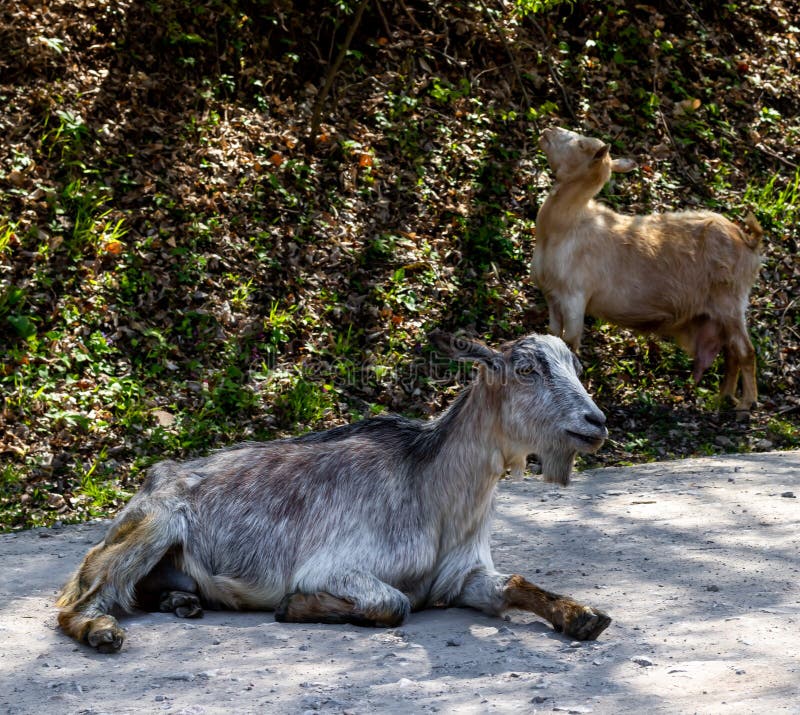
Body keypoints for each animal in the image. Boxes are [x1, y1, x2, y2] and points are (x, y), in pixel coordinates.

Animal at [56, 331, 610, 653]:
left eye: (576, 368)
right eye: (527, 370)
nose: (596, 422)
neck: (432, 486)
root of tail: (157, 475)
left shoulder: (462, 576)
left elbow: (514, 583)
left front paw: (583, 615)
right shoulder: (333, 566)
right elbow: (395, 603)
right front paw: (295, 607)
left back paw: (181, 601)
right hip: (155, 525)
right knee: (78, 598)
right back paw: (102, 630)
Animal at [532, 127, 763, 411]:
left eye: (582, 144)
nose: (548, 131)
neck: (567, 225)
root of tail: (748, 241)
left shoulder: (574, 297)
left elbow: (570, 343)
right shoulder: (552, 296)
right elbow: (553, 337)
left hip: (730, 304)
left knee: (745, 351)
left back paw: (746, 403)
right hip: (721, 314)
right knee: (731, 353)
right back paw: (724, 399)